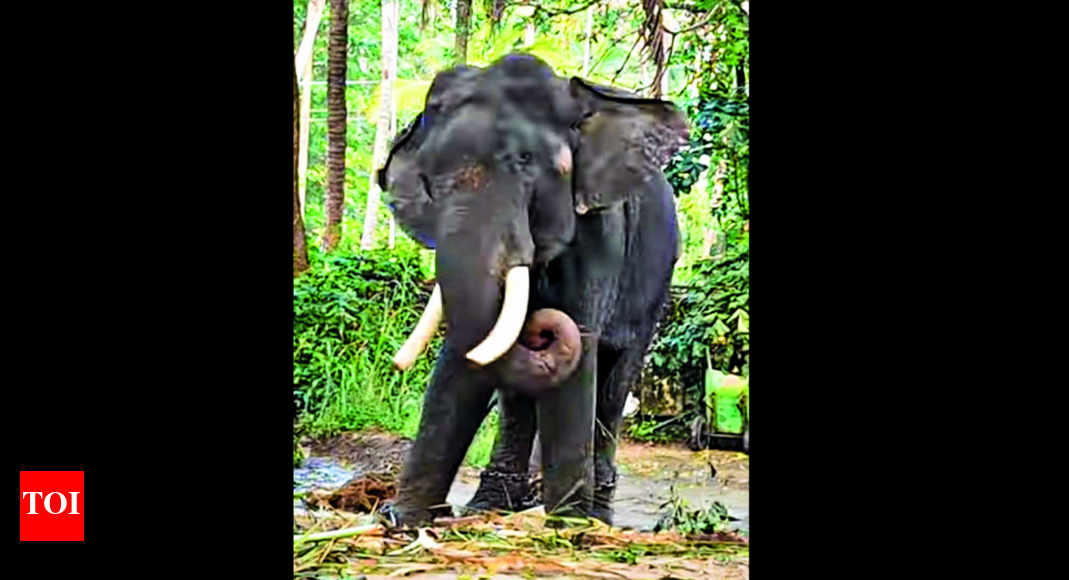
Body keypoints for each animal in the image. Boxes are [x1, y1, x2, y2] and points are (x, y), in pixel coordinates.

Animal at [377, 53, 689, 527]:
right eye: (430, 180)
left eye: (526, 160)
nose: (541, 327)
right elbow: (470, 348)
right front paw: (401, 521)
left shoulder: (600, 232)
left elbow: (580, 341)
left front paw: (568, 526)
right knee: (517, 399)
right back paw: (491, 507)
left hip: (658, 278)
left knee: (617, 379)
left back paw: (598, 517)